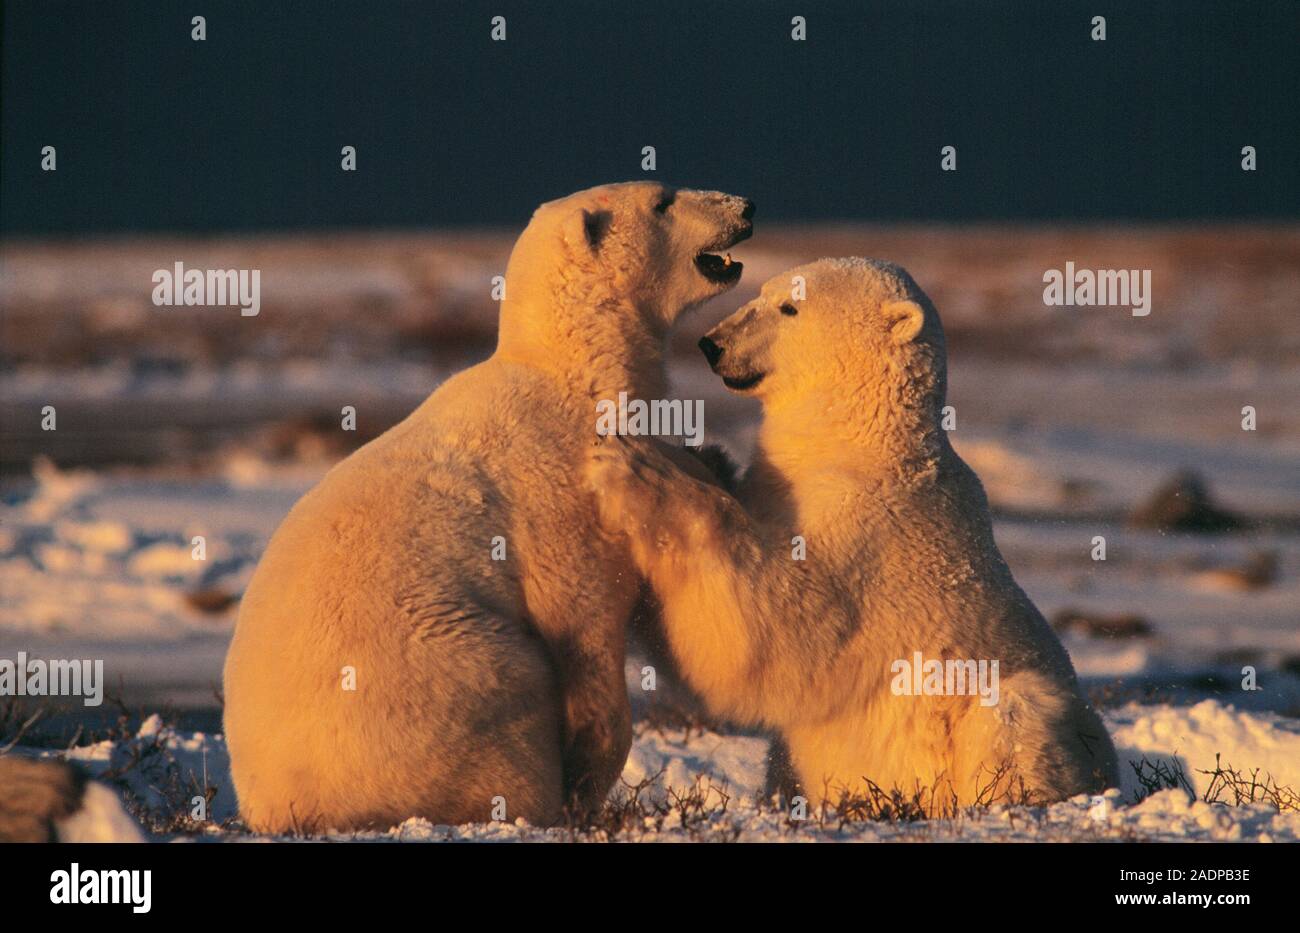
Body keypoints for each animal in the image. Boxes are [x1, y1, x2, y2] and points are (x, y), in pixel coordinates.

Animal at [222, 182, 754, 832]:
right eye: (664, 201)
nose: (745, 207)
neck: (576, 373)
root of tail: (270, 801)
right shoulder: (561, 496)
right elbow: (582, 622)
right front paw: (585, 783)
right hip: (447, 672)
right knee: (509, 686)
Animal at [584, 258, 1119, 810]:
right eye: (763, 293)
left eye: (789, 306)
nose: (712, 343)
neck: (859, 441)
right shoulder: (779, 489)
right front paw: (706, 455)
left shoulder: (866, 534)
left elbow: (778, 629)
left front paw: (633, 465)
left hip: (1018, 708)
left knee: (1014, 717)